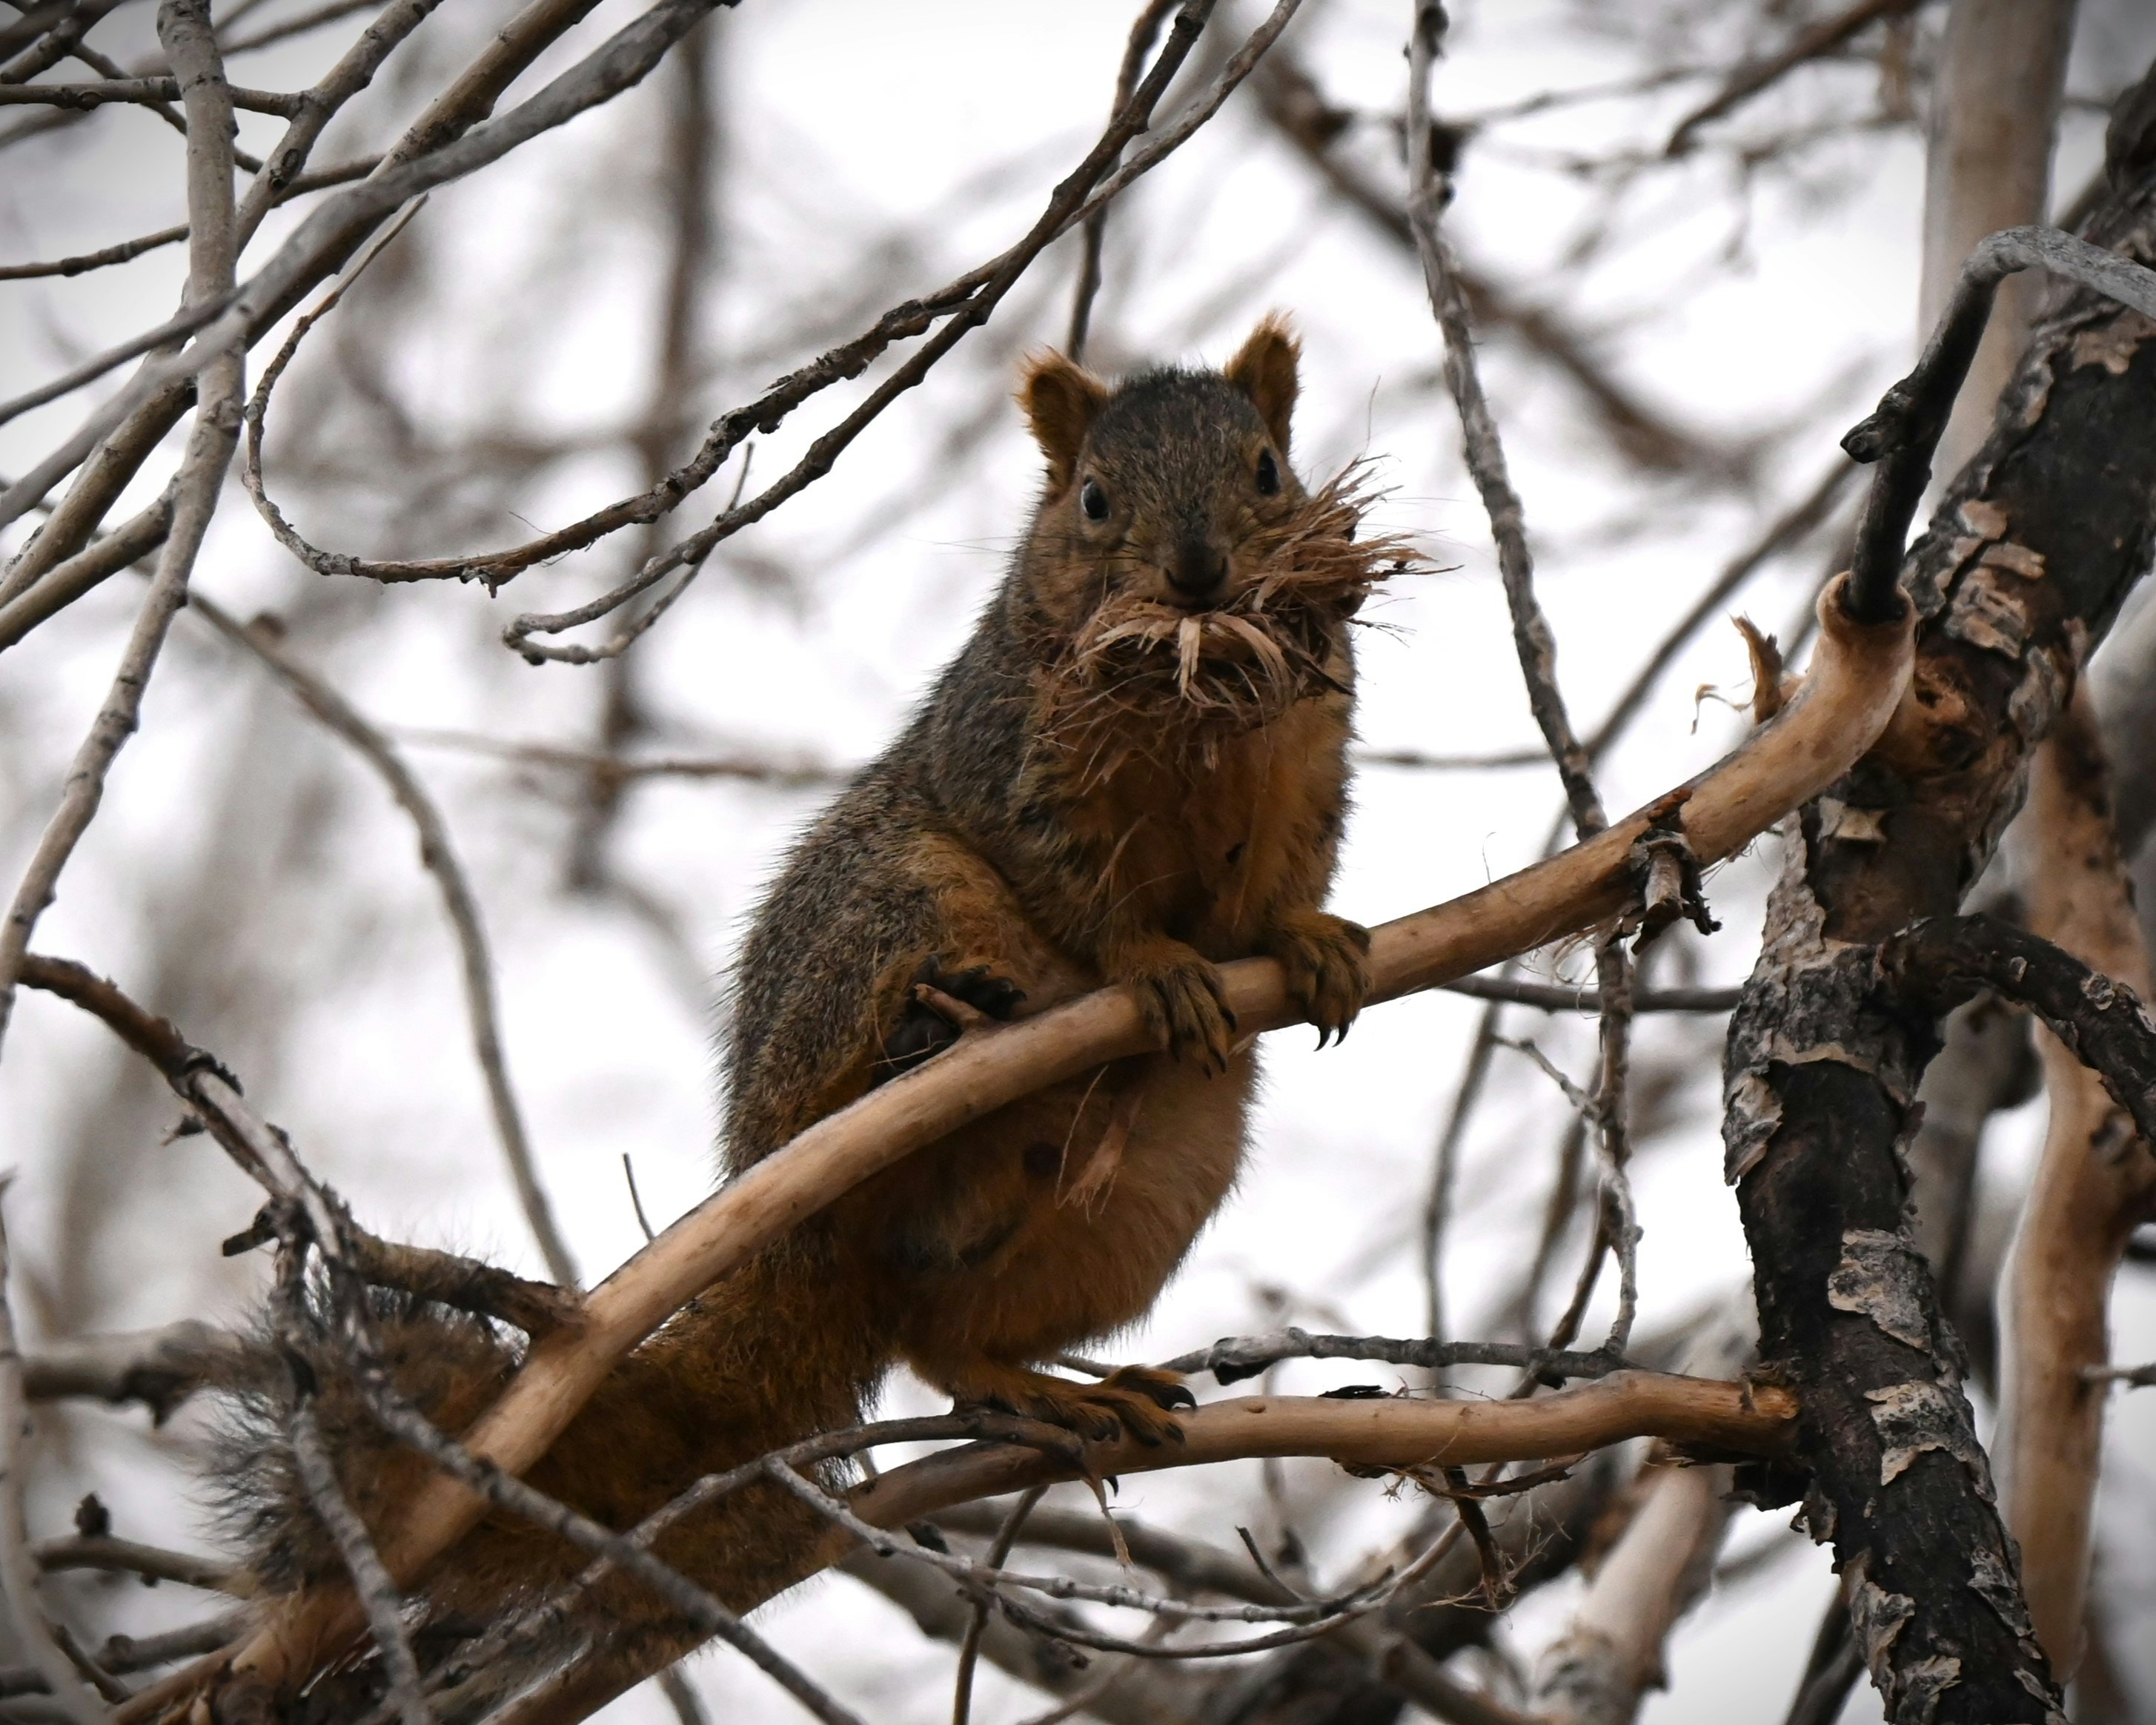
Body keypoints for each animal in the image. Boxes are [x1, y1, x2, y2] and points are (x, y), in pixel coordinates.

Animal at [215, 315, 1395, 1719]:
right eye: (1093, 500)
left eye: (1267, 468)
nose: (1199, 570)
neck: (1198, 697)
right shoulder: (1011, 754)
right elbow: (1067, 880)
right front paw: (1153, 965)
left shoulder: (1311, 759)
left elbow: (1284, 883)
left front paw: (1308, 944)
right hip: (885, 905)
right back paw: (922, 1047)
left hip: (1146, 1182)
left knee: (942, 1336)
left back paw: (1050, 1383)